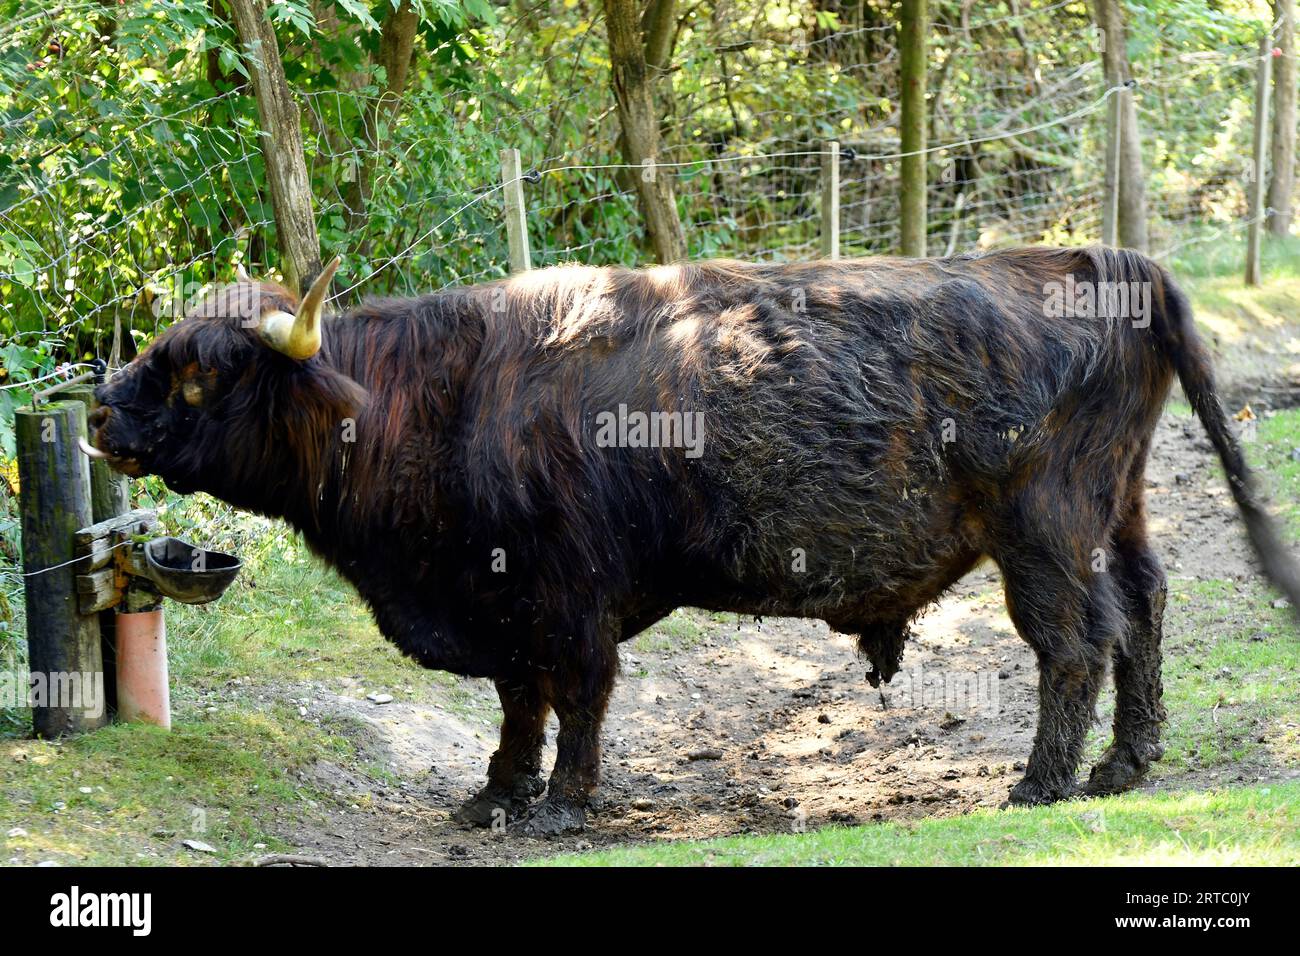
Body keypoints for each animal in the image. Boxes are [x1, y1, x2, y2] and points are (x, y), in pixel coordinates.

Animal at [84, 246, 1300, 835]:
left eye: (197, 375)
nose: (98, 412)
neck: (441, 400)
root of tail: (1095, 256)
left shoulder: (565, 594)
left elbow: (574, 694)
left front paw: (560, 805)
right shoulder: (501, 599)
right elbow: (517, 701)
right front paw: (495, 792)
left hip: (1042, 527)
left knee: (1074, 639)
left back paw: (1044, 782)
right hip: (1116, 509)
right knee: (1145, 607)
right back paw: (1124, 762)